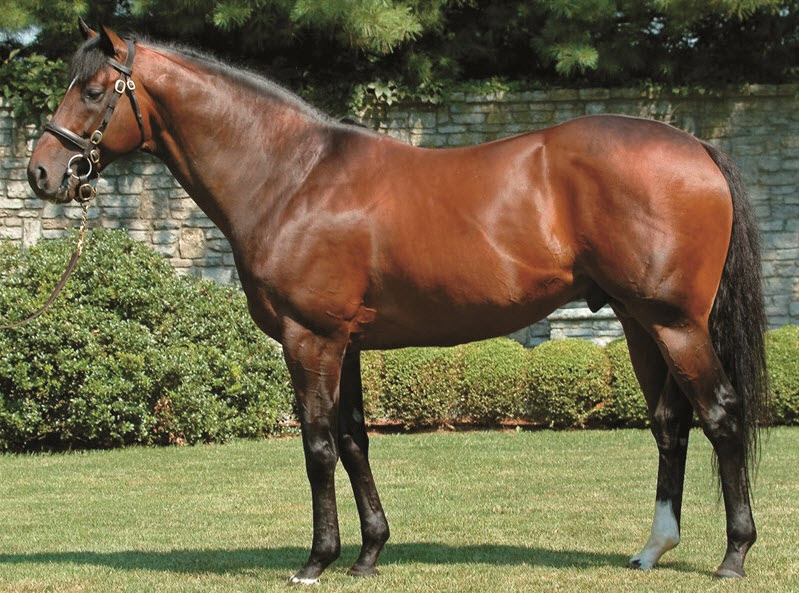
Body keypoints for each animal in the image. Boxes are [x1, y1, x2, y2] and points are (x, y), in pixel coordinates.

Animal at [26, 22, 768, 584]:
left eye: (93, 90)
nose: (42, 172)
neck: (292, 176)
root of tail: (696, 146)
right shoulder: (346, 342)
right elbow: (355, 438)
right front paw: (369, 553)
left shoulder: (310, 337)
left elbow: (318, 444)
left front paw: (316, 561)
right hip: (641, 322)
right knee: (670, 424)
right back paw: (651, 549)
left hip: (676, 324)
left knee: (721, 415)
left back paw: (733, 554)